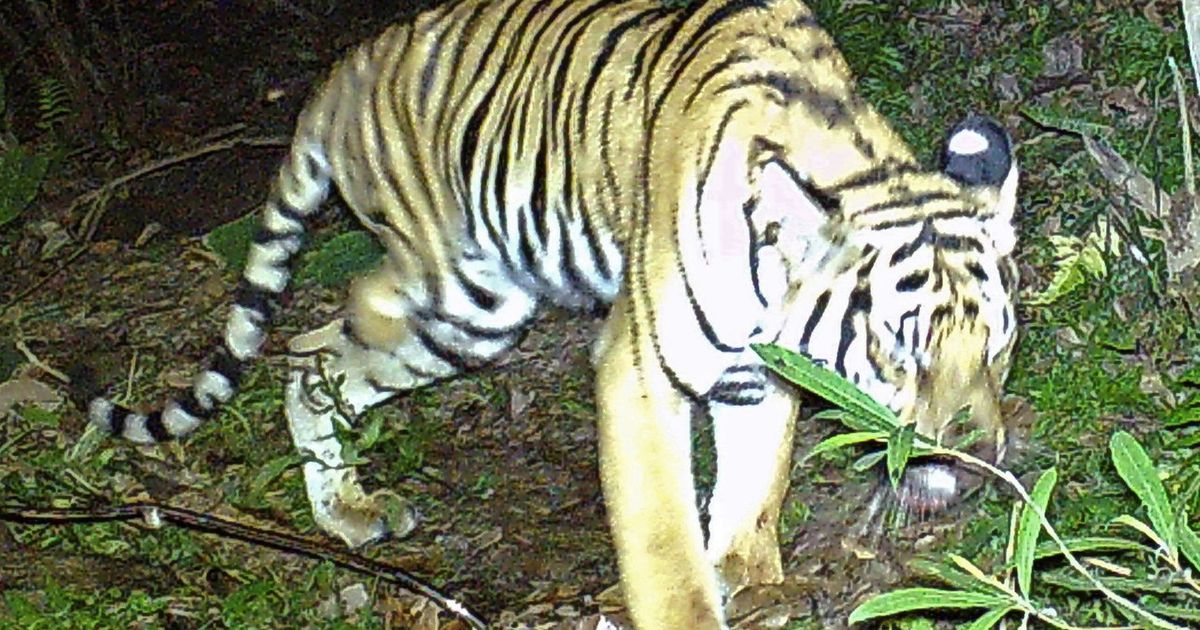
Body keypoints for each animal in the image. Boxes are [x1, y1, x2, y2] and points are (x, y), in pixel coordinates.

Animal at [85, 0, 1020, 627]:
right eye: (898, 352)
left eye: (998, 350)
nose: (979, 463)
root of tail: (343, 71)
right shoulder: (641, 374)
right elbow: (664, 545)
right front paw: (700, 595)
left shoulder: (757, 379)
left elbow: (753, 492)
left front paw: (752, 580)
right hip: (467, 298)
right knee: (333, 328)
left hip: (468, 318)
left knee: (316, 353)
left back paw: (348, 509)